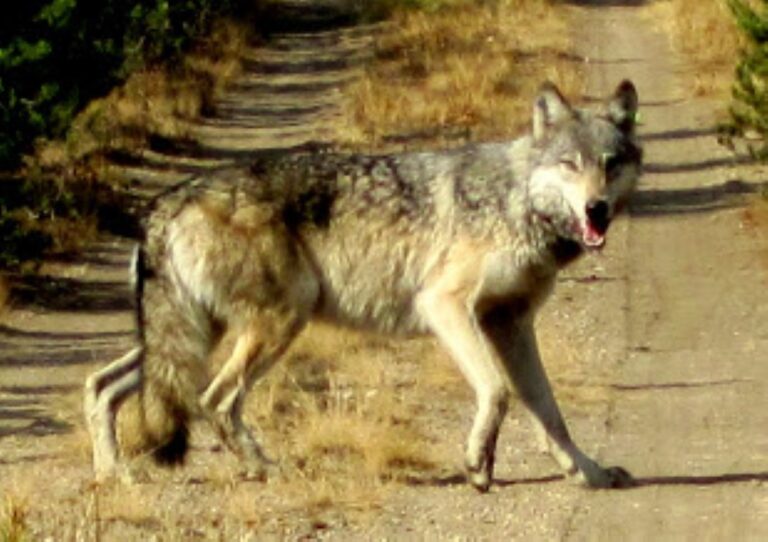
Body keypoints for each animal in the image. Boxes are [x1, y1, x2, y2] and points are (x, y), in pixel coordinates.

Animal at [84, 80, 642, 491]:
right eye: (570, 165)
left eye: (610, 164)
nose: (596, 209)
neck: (518, 200)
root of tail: (166, 202)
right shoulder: (445, 306)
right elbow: (497, 391)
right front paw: (478, 464)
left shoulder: (511, 324)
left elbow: (549, 412)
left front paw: (587, 472)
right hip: (276, 324)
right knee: (215, 400)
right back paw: (265, 469)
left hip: (195, 339)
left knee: (102, 384)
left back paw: (115, 474)